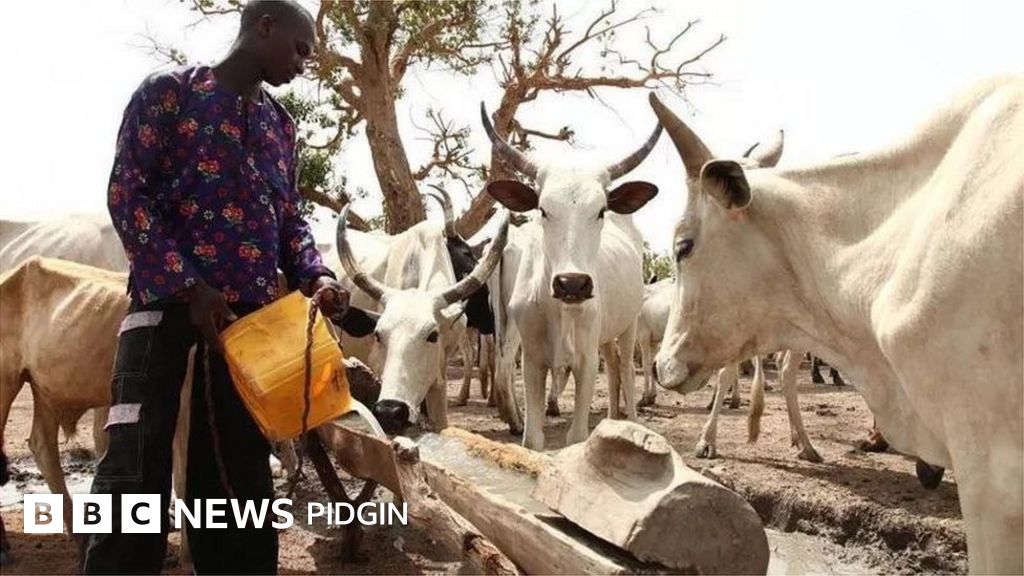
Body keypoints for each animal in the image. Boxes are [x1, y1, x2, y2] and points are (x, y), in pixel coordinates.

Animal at [481, 102, 662, 450]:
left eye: (600, 210)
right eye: (543, 209)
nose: (572, 284)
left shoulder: (586, 362)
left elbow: (577, 437)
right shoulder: (532, 361)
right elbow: (532, 439)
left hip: (630, 324)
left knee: (627, 371)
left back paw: (630, 419)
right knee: (614, 367)